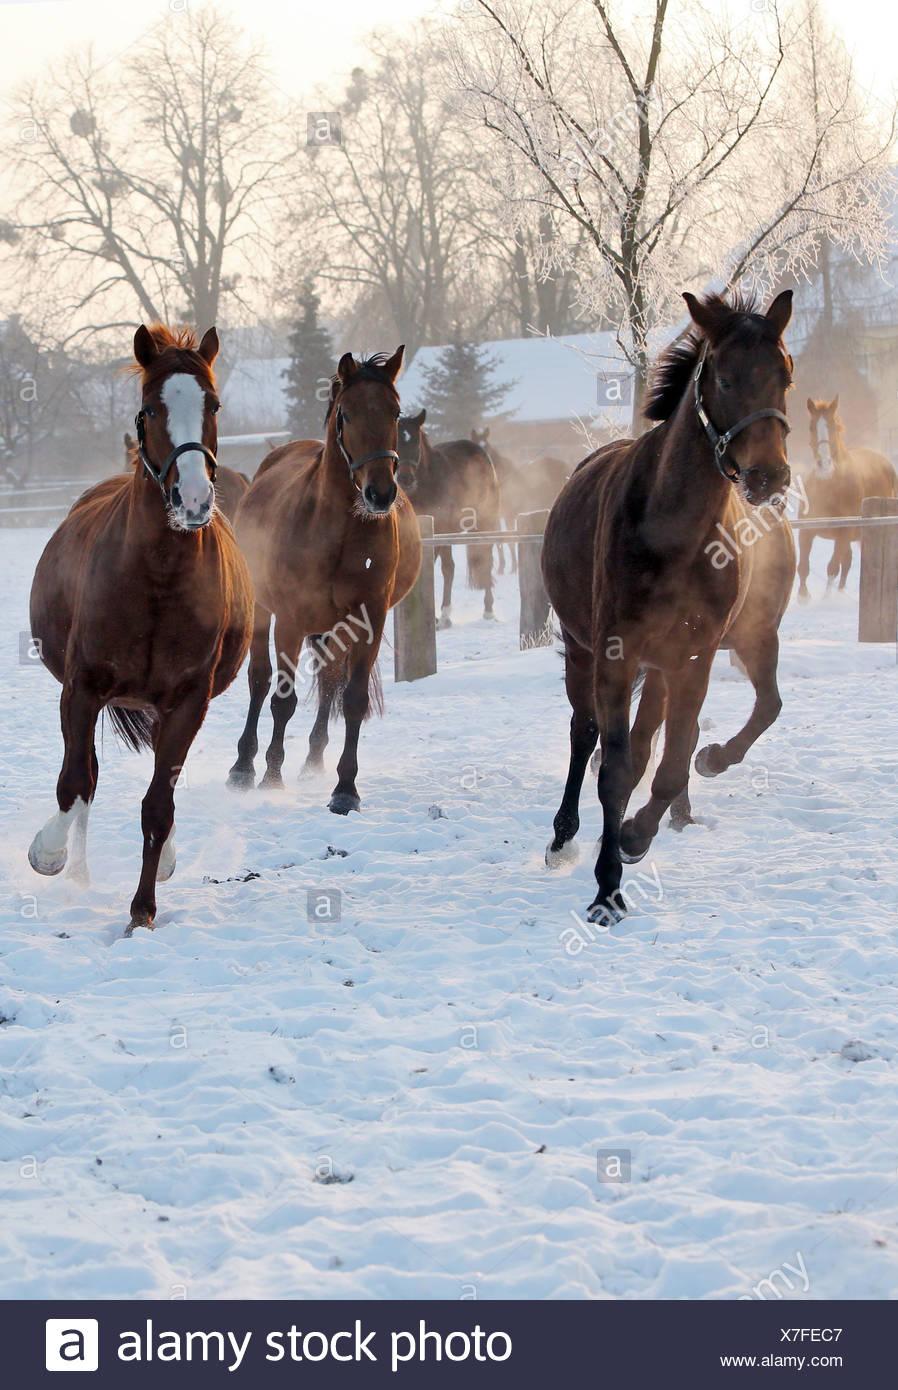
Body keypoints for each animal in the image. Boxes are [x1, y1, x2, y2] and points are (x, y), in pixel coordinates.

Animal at [29, 325, 253, 932]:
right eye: (151, 408)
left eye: (213, 405)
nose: (193, 499)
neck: (157, 578)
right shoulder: (81, 689)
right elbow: (75, 781)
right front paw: (48, 853)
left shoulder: (186, 702)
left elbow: (158, 805)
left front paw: (143, 910)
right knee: (86, 775)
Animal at [227, 348, 421, 812]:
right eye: (346, 414)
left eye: (395, 411)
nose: (381, 493)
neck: (339, 528)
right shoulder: (291, 620)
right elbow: (282, 699)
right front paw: (270, 775)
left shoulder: (368, 620)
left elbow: (352, 699)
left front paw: (345, 788)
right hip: (263, 612)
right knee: (259, 682)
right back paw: (244, 765)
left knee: (331, 681)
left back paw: (314, 760)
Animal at [397, 410, 500, 627]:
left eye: (415, 441)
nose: (405, 478)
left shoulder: (441, 529)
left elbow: (444, 569)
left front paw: (441, 615)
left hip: (484, 523)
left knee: (483, 561)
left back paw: (486, 610)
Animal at [542, 289, 795, 925]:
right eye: (725, 379)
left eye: (785, 375)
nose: (769, 476)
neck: (673, 531)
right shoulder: (615, 653)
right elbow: (611, 768)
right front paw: (607, 890)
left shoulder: (692, 656)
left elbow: (672, 756)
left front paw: (634, 836)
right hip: (581, 650)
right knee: (584, 734)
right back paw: (563, 836)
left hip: (667, 665)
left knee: (649, 741)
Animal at [797, 396, 896, 599]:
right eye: (811, 427)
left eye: (834, 426)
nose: (825, 464)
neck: (828, 486)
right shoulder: (806, 530)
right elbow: (802, 566)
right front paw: (803, 597)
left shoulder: (844, 532)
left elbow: (832, 567)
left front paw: (827, 598)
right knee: (847, 561)